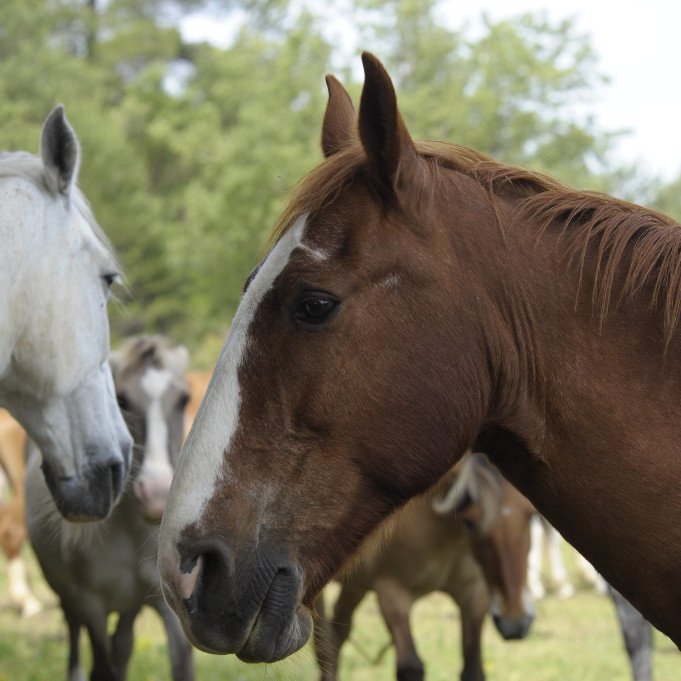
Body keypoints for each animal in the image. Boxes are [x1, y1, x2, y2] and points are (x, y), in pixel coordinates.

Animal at [26, 335, 193, 681]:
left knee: (123, 644)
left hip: (129, 605)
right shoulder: (91, 604)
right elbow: (103, 666)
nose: (156, 494)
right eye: (124, 400)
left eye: (183, 400)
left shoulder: (169, 606)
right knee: (75, 634)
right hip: (66, 594)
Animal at [314, 453, 535, 681]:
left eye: (531, 515)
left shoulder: (474, 594)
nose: (515, 624)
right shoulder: (392, 593)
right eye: (470, 521)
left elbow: (473, 669)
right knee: (325, 647)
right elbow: (411, 667)